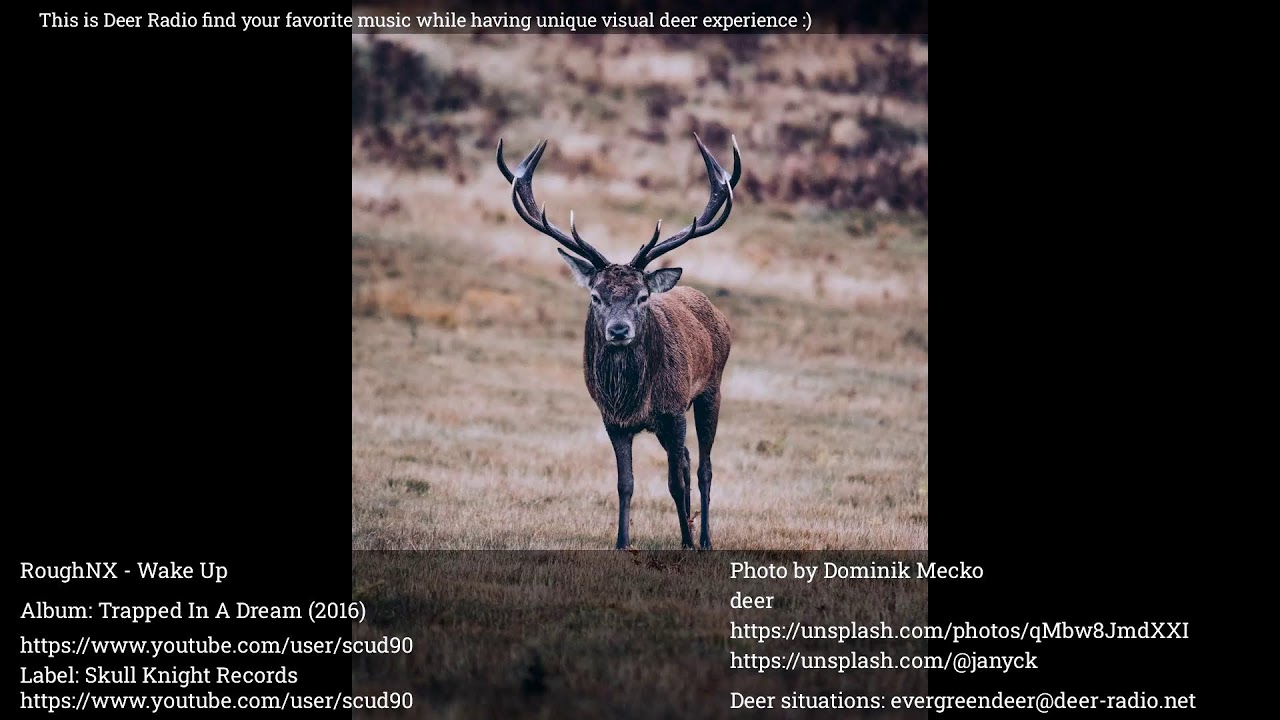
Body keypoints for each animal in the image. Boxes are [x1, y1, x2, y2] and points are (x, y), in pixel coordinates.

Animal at [496, 134, 741, 550]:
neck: (632, 397)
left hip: (711, 389)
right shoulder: (612, 419)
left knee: (703, 467)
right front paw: (622, 541)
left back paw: (704, 538)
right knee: (687, 458)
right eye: (596, 295)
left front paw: (687, 543)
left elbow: (676, 481)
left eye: (642, 297)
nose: (619, 330)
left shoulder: (673, 409)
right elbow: (625, 483)